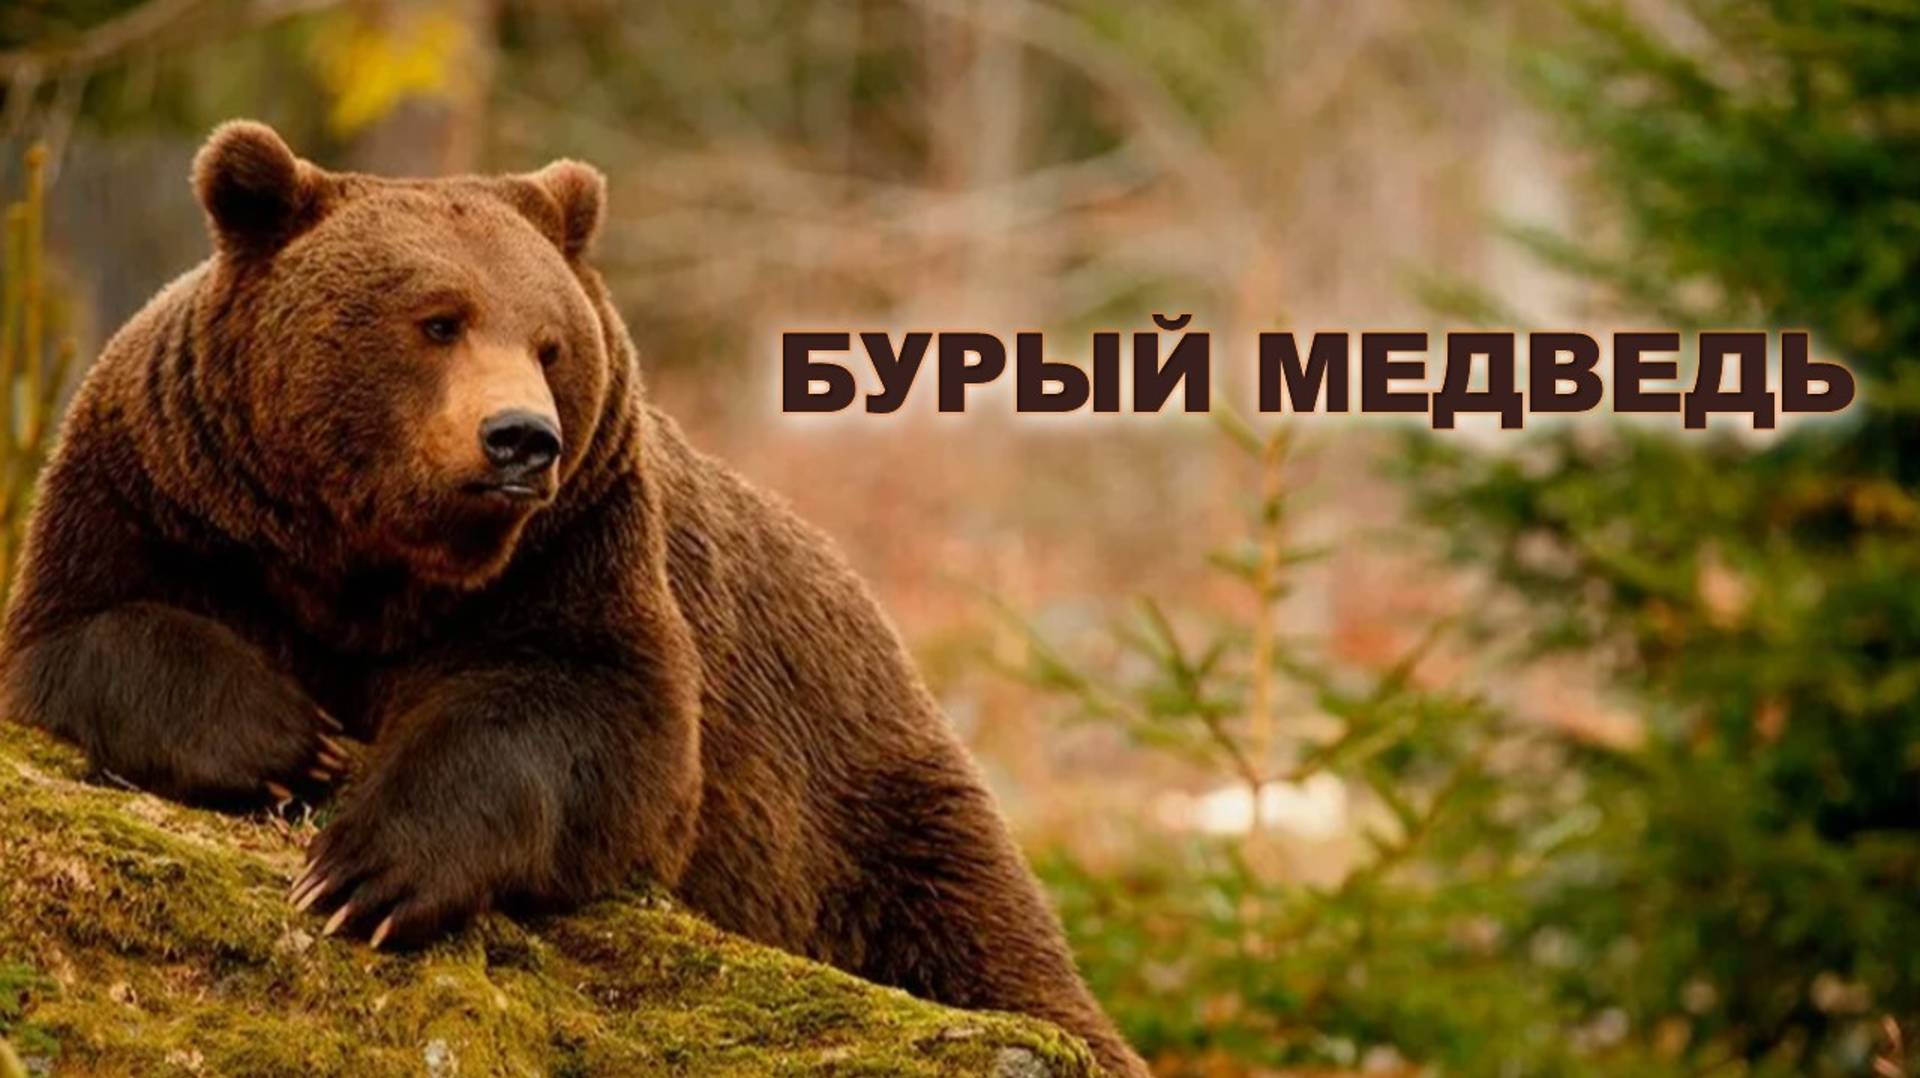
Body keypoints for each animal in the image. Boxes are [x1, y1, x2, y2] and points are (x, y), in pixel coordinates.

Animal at [0, 121, 1148, 1078]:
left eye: (549, 341)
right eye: (439, 320)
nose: (521, 438)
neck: (369, 555)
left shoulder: (578, 547)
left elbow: (593, 718)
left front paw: (366, 870)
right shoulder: (168, 488)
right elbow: (85, 629)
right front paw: (291, 739)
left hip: (861, 802)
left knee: (981, 933)